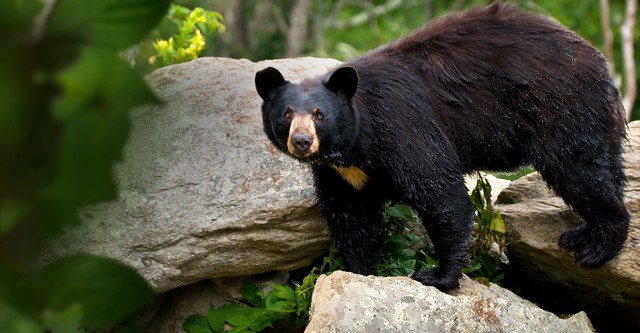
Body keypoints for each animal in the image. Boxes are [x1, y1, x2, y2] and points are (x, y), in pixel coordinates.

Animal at [254, 1, 632, 290]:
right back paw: (582, 235)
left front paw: (437, 275)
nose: (302, 141)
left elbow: (441, 195)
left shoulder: (403, 129)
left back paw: (597, 247)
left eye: (319, 114)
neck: (355, 143)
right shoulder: (339, 173)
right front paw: (358, 271)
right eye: (287, 113)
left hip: (561, 109)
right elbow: (352, 218)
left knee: (579, 172)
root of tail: (601, 63)